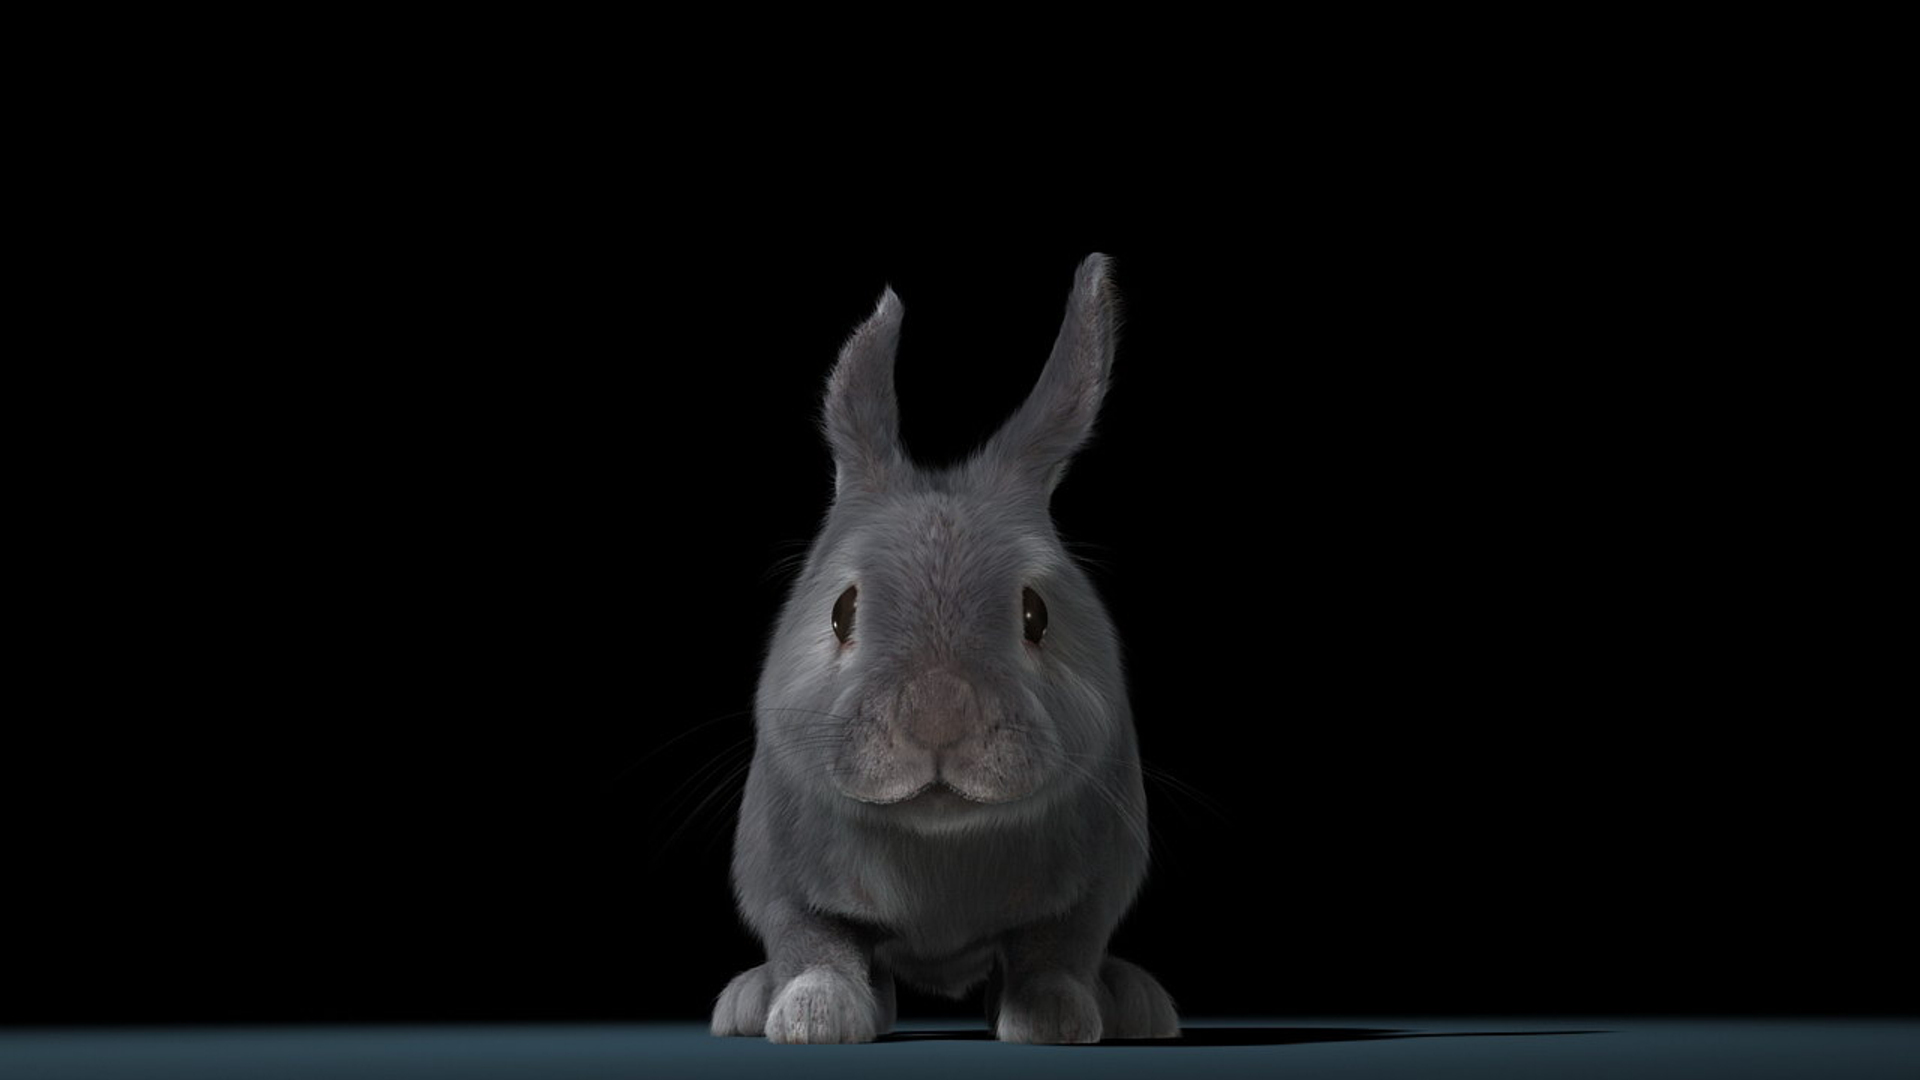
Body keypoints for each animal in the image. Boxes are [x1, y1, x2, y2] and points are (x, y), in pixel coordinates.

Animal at [710, 253, 1180, 1044]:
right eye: (841, 611)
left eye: (1036, 613)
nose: (936, 718)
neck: (939, 840)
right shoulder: (778, 878)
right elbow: (813, 941)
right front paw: (814, 1014)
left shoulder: (1093, 888)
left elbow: (1058, 950)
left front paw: (1055, 1018)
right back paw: (748, 1000)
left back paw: (1134, 1001)